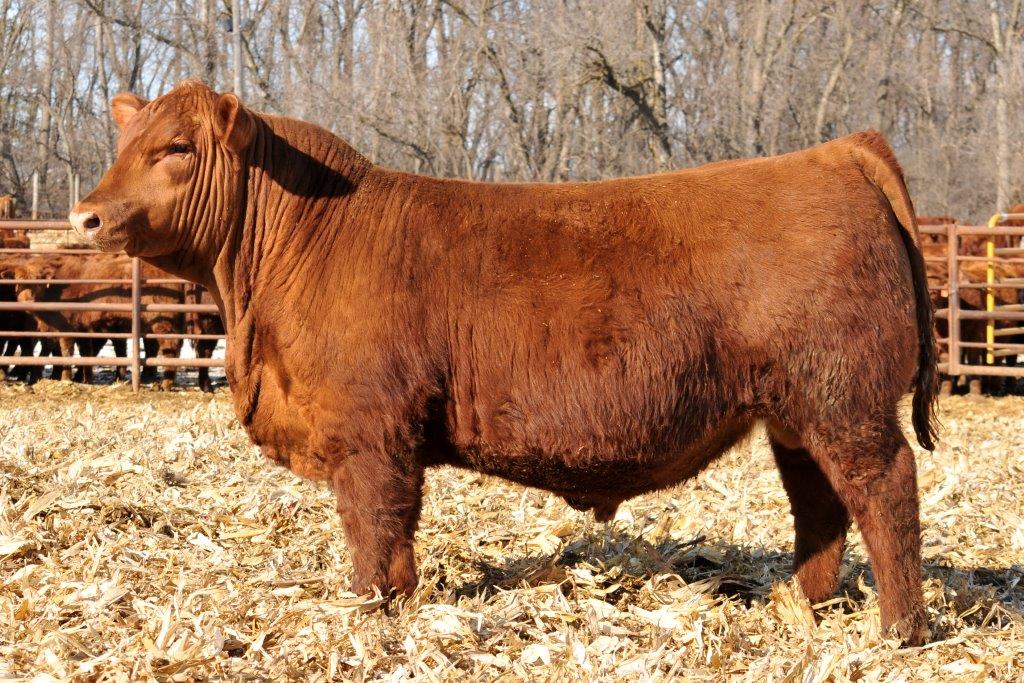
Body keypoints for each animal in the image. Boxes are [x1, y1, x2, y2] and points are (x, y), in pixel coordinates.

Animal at [68, 81, 937, 644]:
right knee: (820, 505)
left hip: (846, 401)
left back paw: (900, 628)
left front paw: (368, 606)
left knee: (884, 488)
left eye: (177, 148)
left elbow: (373, 521)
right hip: (798, 412)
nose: (87, 215)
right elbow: (394, 527)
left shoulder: (371, 430)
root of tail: (837, 153)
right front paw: (398, 598)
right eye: (123, 144)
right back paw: (803, 608)